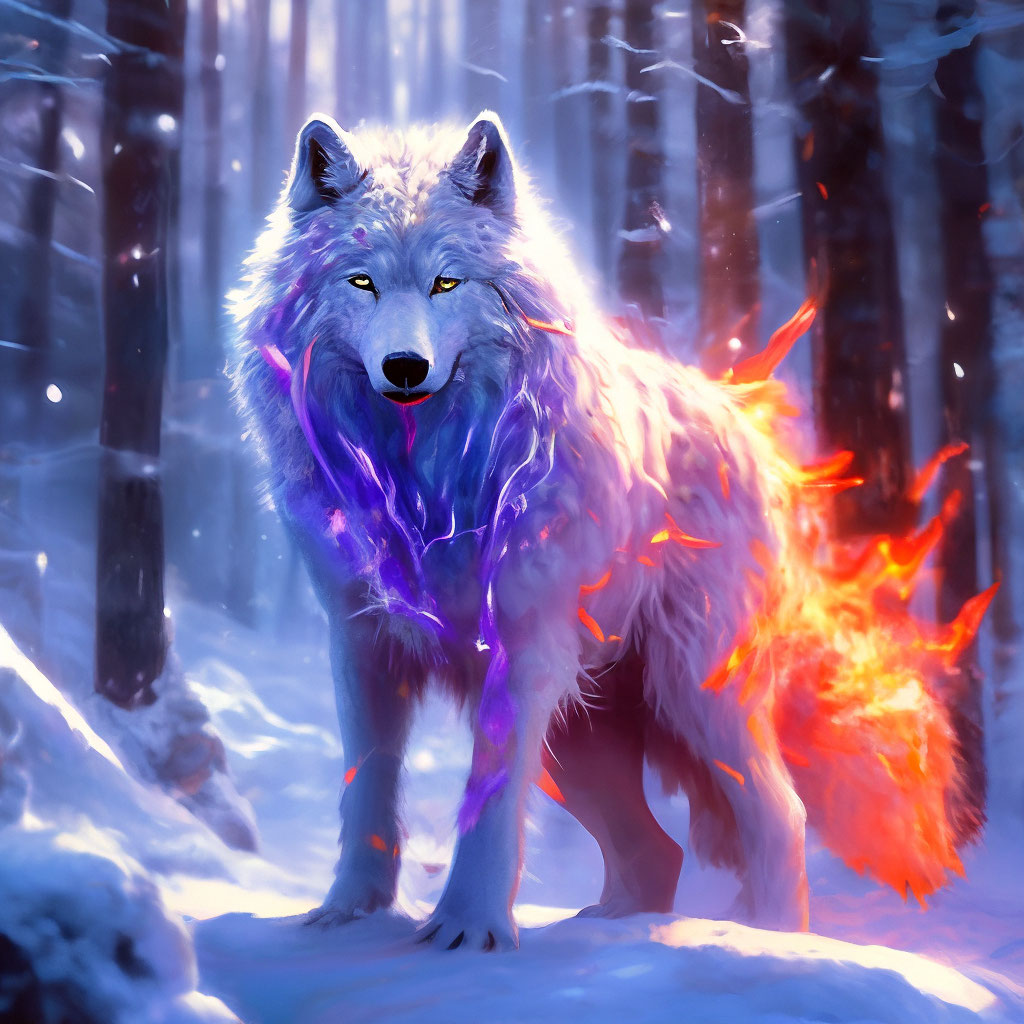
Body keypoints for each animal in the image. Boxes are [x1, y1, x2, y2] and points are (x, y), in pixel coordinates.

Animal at [231, 112, 973, 950]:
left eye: (446, 282)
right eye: (362, 281)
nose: (405, 366)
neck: (429, 484)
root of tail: (746, 430)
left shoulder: (522, 646)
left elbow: (489, 798)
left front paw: (468, 928)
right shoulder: (362, 644)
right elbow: (368, 788)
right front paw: (350, 914)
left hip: (695, 692)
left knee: (779, 816)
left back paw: (773, 938)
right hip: (583, 737)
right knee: (659, 850)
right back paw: (615, 929)